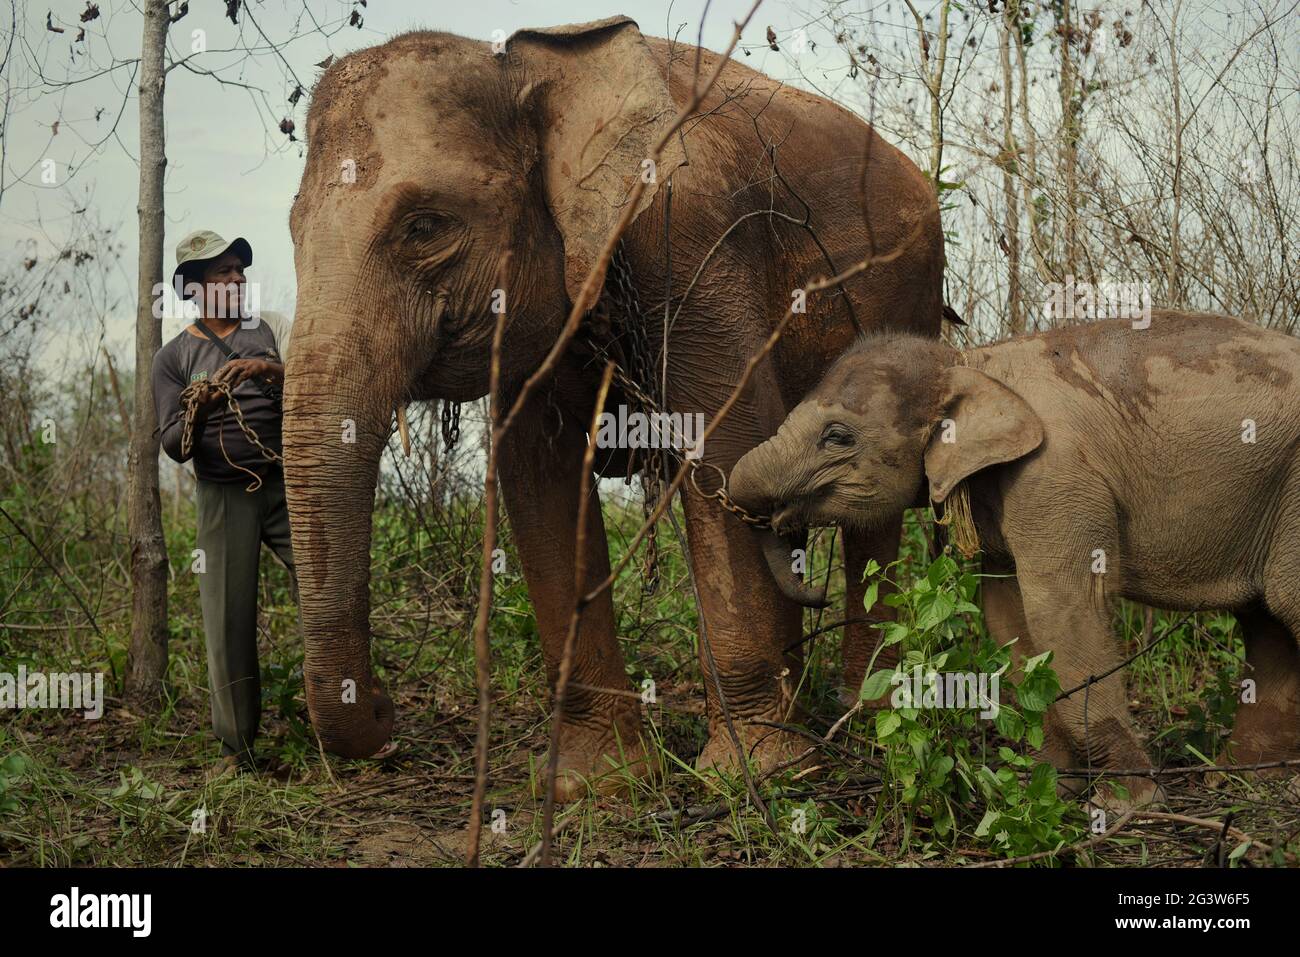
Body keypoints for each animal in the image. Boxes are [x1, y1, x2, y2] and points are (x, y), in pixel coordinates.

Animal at [283, 16, 945, 799]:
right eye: (291, 231)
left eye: (424, 226)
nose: (388, 714)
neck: (527, 68)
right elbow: (541, 483)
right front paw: (594, 785)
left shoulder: (693, 242)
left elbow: (724, 447)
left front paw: (756, 775)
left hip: (912, 299)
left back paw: (863, 725)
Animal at [728, 311, 1300, 803]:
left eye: (837, 436)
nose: (817, 593)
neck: (969, 362)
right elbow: (1008, 617)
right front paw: (1045, 791)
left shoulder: (1053, 475)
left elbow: (1063, 609)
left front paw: (1127, 806)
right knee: (1267, 624)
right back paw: (1243, 778)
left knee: (1283, 607)